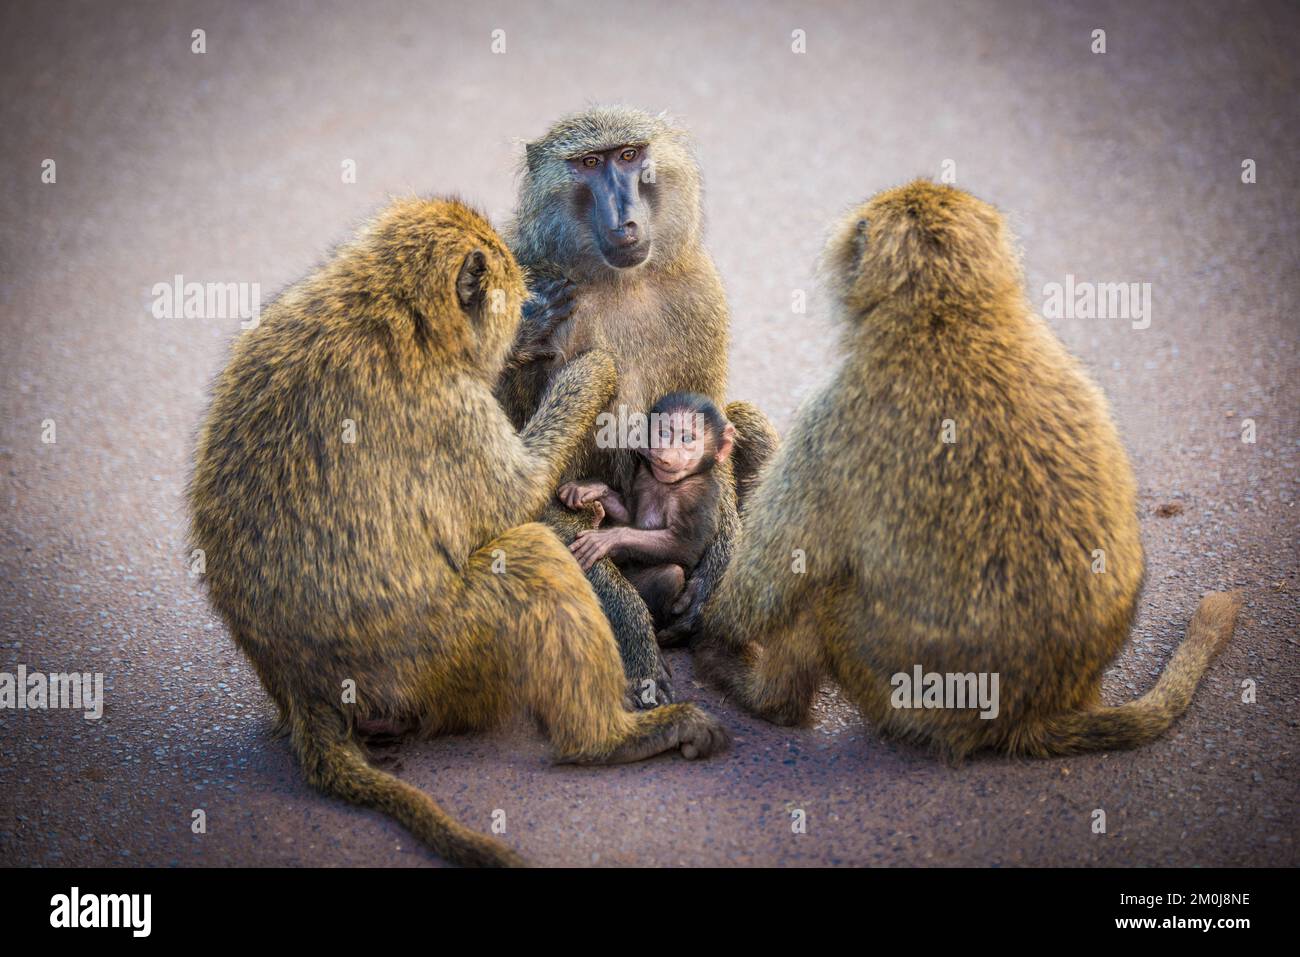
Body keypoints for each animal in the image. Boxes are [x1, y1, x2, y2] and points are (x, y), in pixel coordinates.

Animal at [559, 392, 735, 630]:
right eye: (663, 433)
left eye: (687, 439)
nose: (666, 457)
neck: (670, 484)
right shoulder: (644, 474)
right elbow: (629, 516)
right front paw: (591, 489)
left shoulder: (697, 495)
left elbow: (686, 545)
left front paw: (608, 538)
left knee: (671, 575)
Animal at [696, 179, 1242, 760]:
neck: (952, 317)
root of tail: (1032, 713)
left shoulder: (837, 411)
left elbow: (764, 587)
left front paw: (708, 622)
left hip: (889, 689)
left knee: (816, 589)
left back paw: (763, 695)